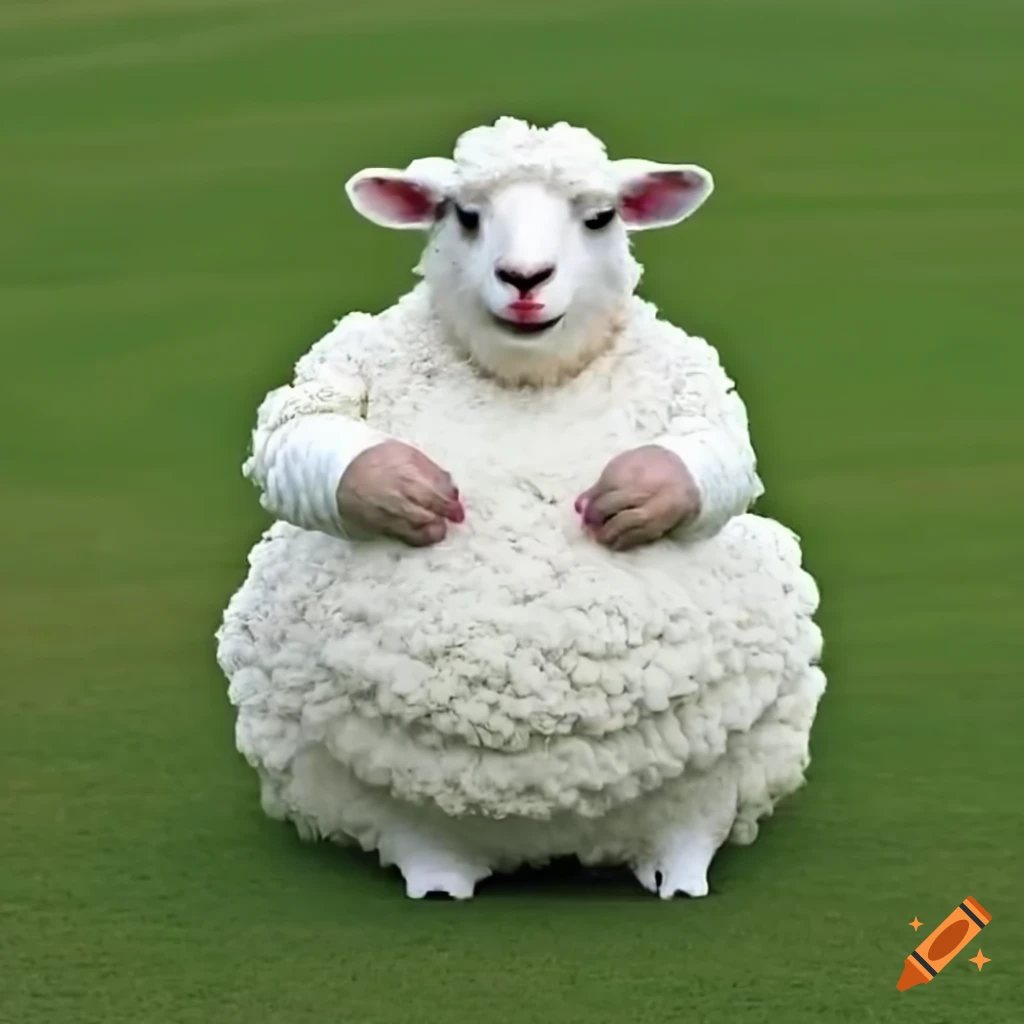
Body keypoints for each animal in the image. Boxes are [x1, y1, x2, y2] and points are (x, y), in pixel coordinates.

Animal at [215, 116, 826, 901]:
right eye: (464, 215)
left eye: (600, 217)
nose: (525, 279)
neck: (527, 377)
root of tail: (547, 837)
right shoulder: (340, 364)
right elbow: (295, 426)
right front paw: (398, 485)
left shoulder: (695, 377)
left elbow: (722, 447)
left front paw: (639, 491)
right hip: (347, 777)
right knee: (406, 830)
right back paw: (437, 876)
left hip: (731, 761)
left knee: (696, 815)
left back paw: (679, 872)